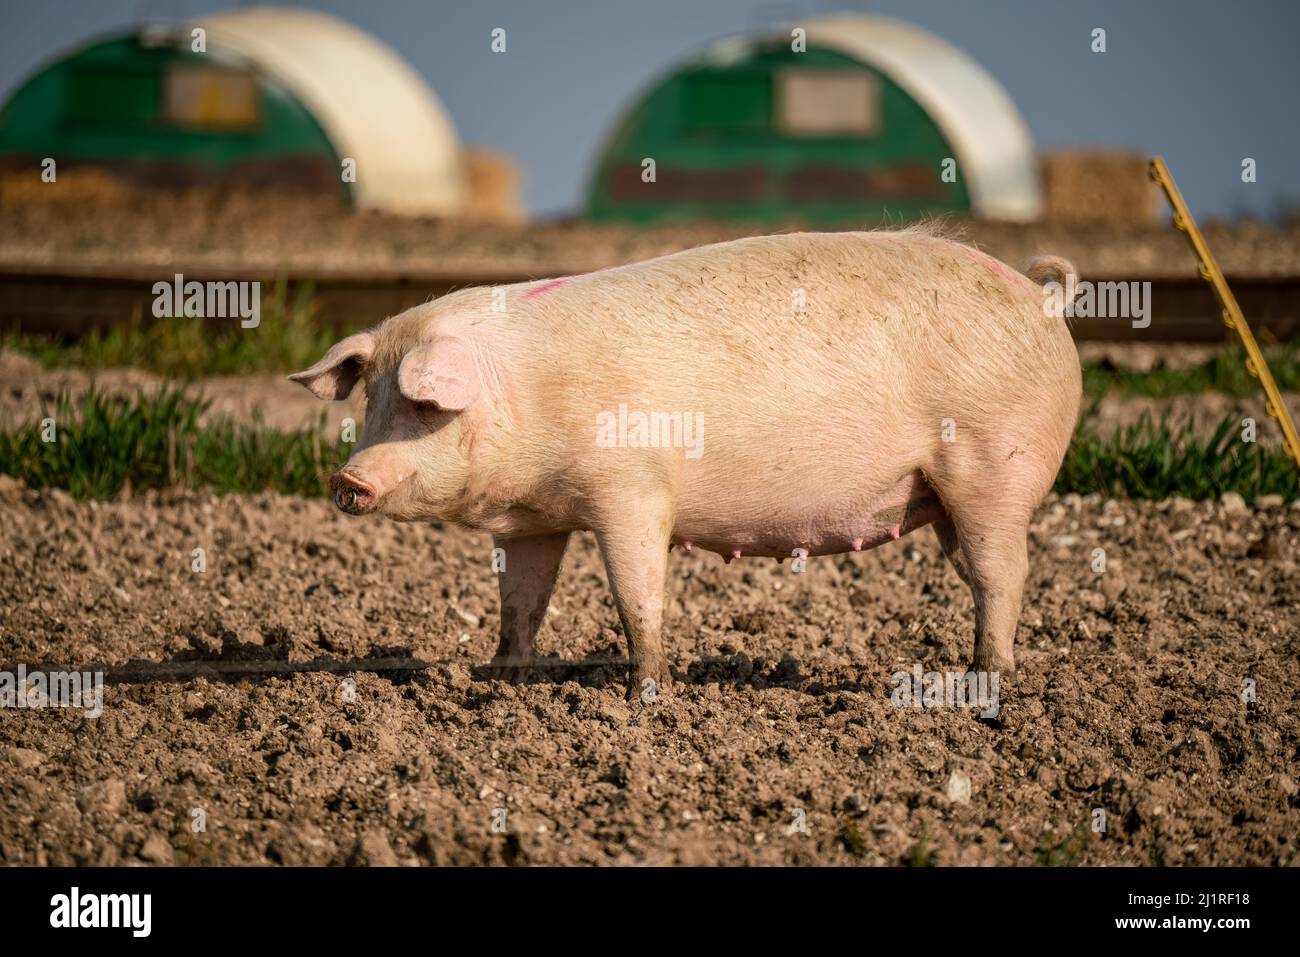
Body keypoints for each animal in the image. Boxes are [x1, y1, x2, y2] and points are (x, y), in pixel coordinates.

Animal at [290, 227, 1081, 696]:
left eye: (423, 405)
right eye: (372, 398)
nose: (346, 478)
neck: (526, 394)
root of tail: (1042, 296)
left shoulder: (632, 489)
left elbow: (636, 596)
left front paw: (647, 695)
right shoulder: (535, 521)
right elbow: (522, 602)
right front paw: (501, 680)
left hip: (994, 470)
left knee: (1005, 574)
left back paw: (984, 683)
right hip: (948, 496)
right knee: (981, 576)